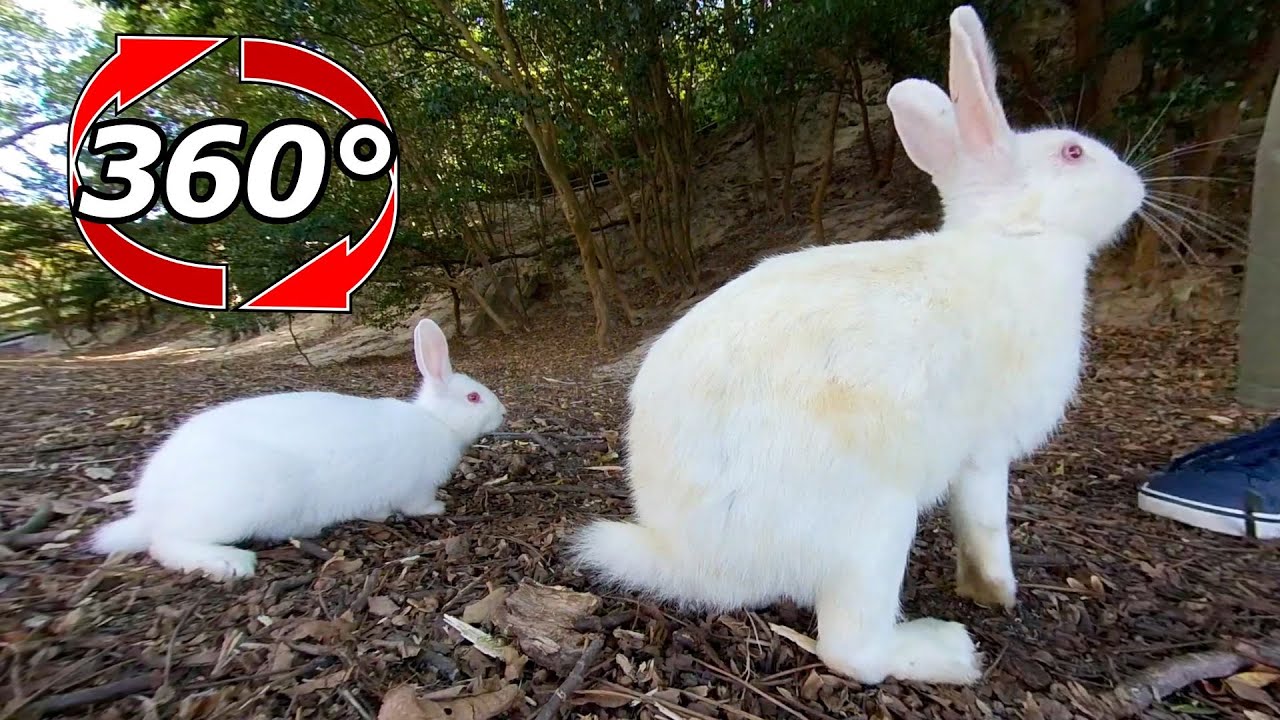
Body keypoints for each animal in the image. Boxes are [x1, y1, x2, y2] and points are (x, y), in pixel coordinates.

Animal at [90, 318, 506, 580]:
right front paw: (438, 508)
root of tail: (150, 509)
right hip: (237, 502)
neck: (436, 422)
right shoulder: (414, 486)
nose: (503, 413)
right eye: (473, 397)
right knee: (167, 544)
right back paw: (230, 564)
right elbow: (417, 504)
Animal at [570, 4, 1145, 686]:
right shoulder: (983, 454)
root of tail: (691, 558)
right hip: (874, 528)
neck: (1012, 239)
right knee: (851, 651)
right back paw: (948, 651)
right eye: (1073, 152)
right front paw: (999, 594)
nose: (1136, 184)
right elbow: (985, 524)